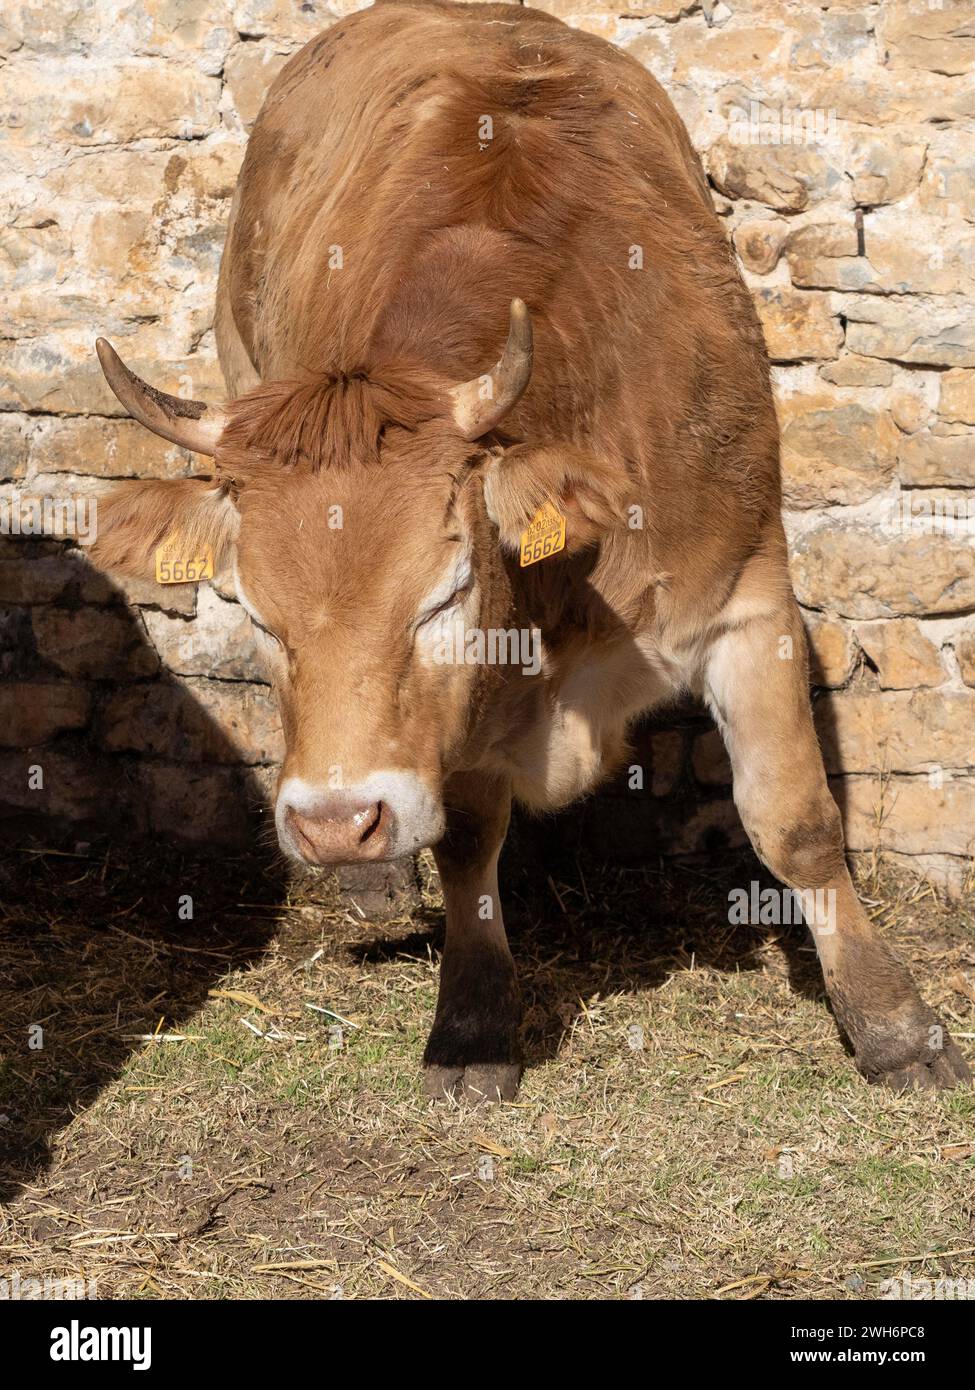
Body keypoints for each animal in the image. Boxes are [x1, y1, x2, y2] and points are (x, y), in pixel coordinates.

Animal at [88, 0, 970, 1102]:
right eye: (254, 613)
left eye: (445, 594)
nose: (335, 822)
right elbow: (469, 841)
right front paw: (473, 1022)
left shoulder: (747, 591)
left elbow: (796, 820)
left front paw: (895, 1027)